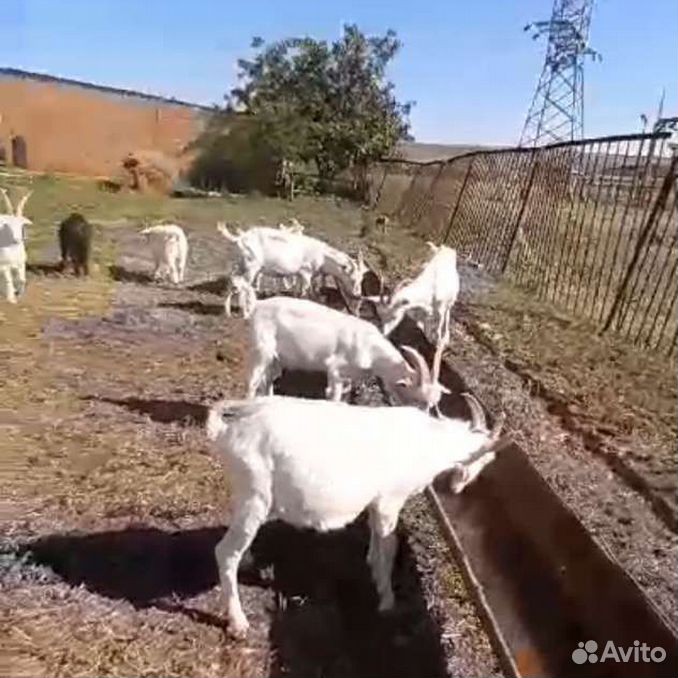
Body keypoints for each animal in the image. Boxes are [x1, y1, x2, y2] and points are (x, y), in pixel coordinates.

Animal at [205, 392, 506, 637]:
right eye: (487, 459)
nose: (459, 487)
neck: (427, 445)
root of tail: (227, 430)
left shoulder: (376, 503)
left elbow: (376, 537)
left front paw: (371, 565)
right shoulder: (390, 501)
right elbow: (390, 545)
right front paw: (387, 601)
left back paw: (248, 560)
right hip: (255, 494)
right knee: (224, 552)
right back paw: (238, 623)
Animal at [245, 296, 449, 408]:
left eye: (432, 404)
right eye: (418, 399)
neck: (371, 350)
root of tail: (257, 305)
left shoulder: (348, 377)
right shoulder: (335, 370)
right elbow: (333, 396)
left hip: (277, 359)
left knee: (269, 379)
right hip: (261, 350)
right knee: (253, 382)